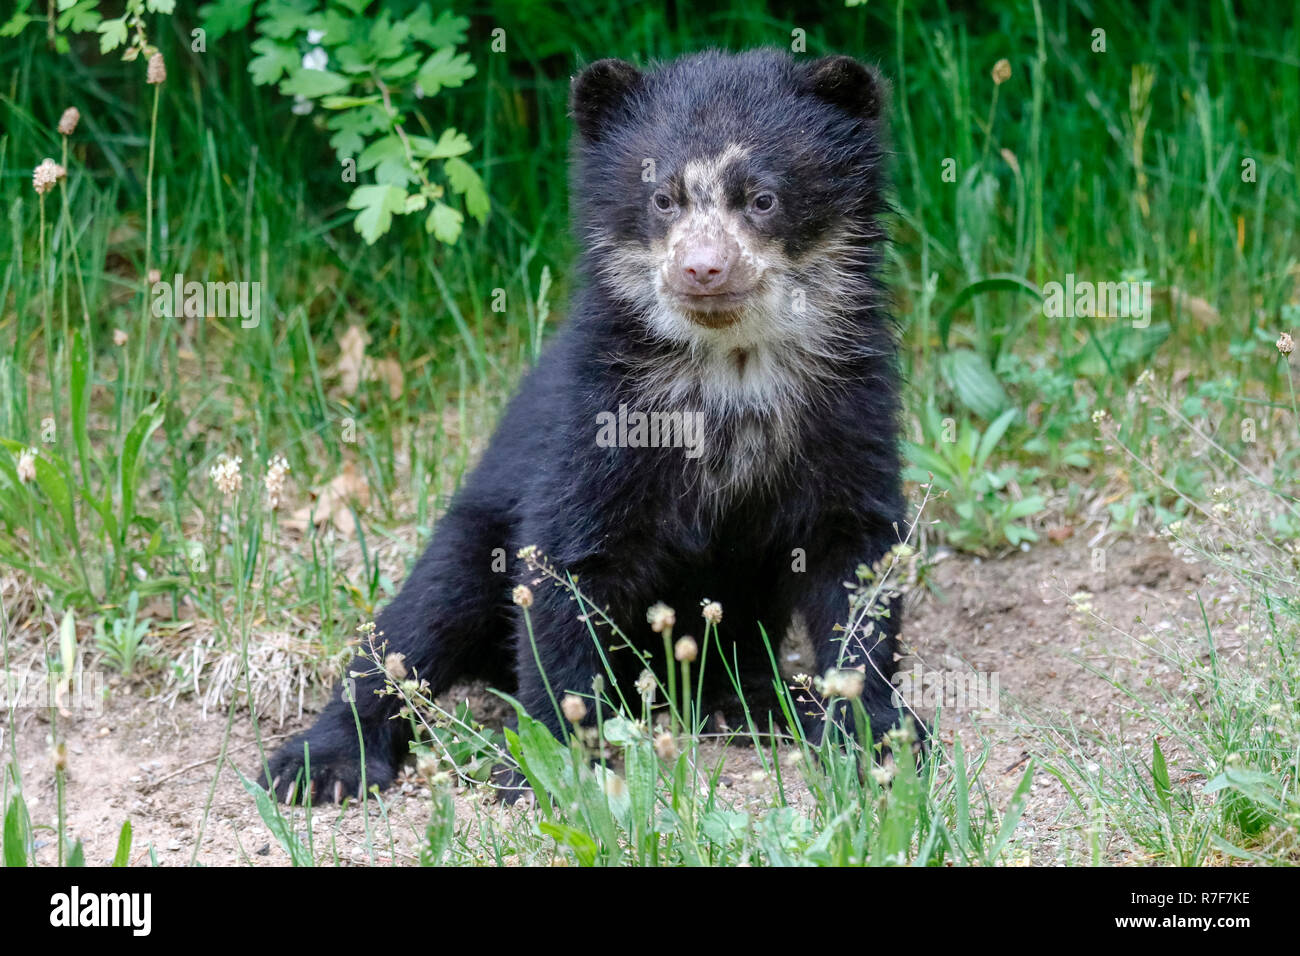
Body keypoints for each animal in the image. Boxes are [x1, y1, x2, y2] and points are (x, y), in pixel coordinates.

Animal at [261, 48, 913, 804]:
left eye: (763, 198)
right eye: (662, 198)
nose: (703, 268)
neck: (730, 370)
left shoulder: (849, 411)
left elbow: (856, 564)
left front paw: (875, 740)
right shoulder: (596, 422)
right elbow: (568, 569)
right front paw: (549, 761)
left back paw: (760, 700)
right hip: (469, 535)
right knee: (416, 625)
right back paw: (318, 765)